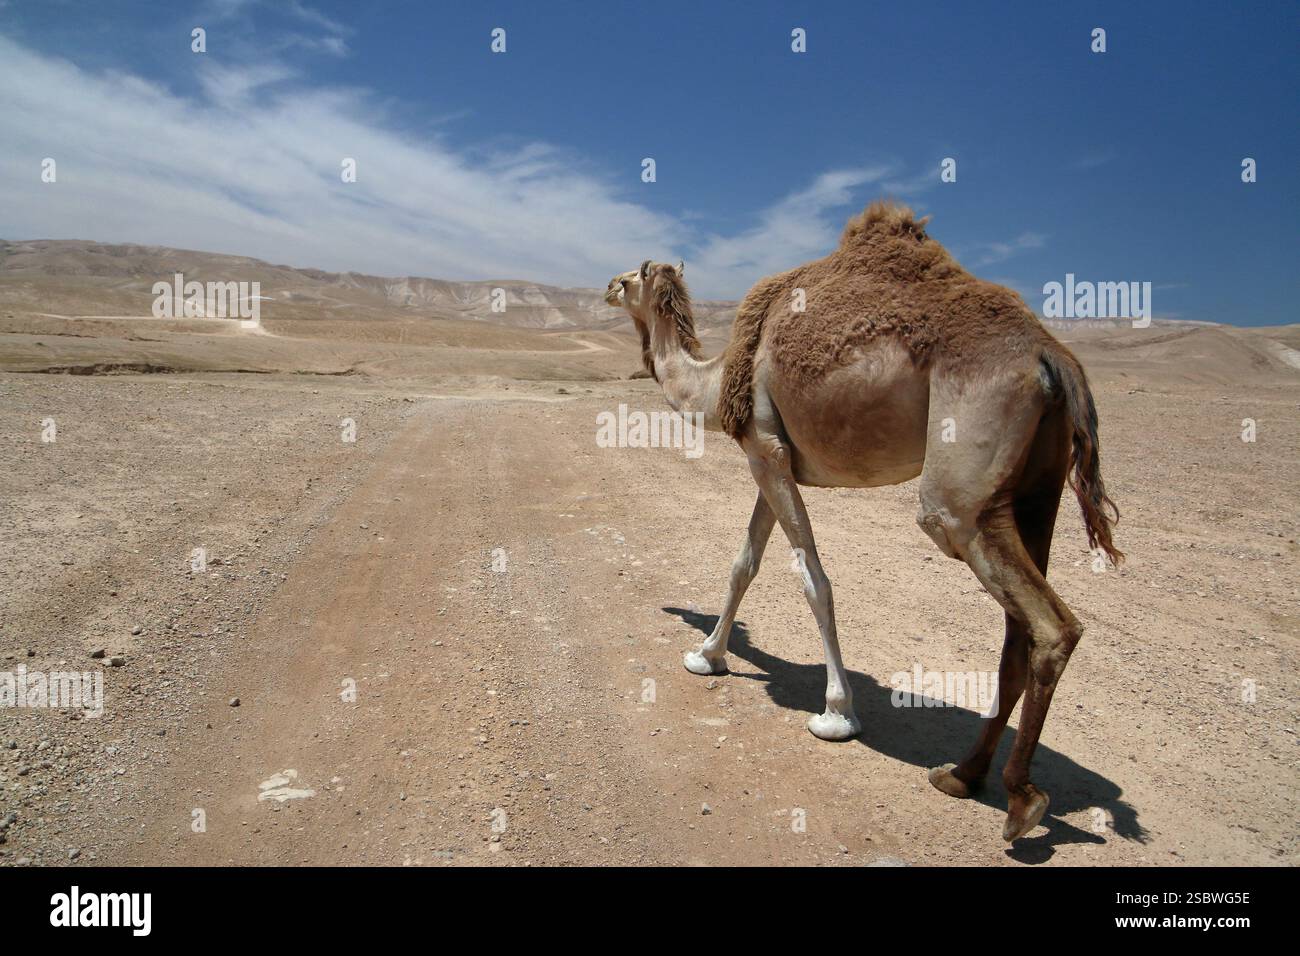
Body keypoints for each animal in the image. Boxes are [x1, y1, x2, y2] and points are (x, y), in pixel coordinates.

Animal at [604, 201, 1122, 842]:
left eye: (630, 276)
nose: (605, 287)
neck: (715, 378)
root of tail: (1053, 355)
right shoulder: (773, 455)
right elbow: (744, 563)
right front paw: (708, 655)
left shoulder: (765, 450)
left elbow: (813, 581)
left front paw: (836, 712)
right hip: (1036, 490)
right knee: (1017, 633)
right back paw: (962, 776)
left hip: (958, 492)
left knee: (1048, 623)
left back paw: (1020, 800)